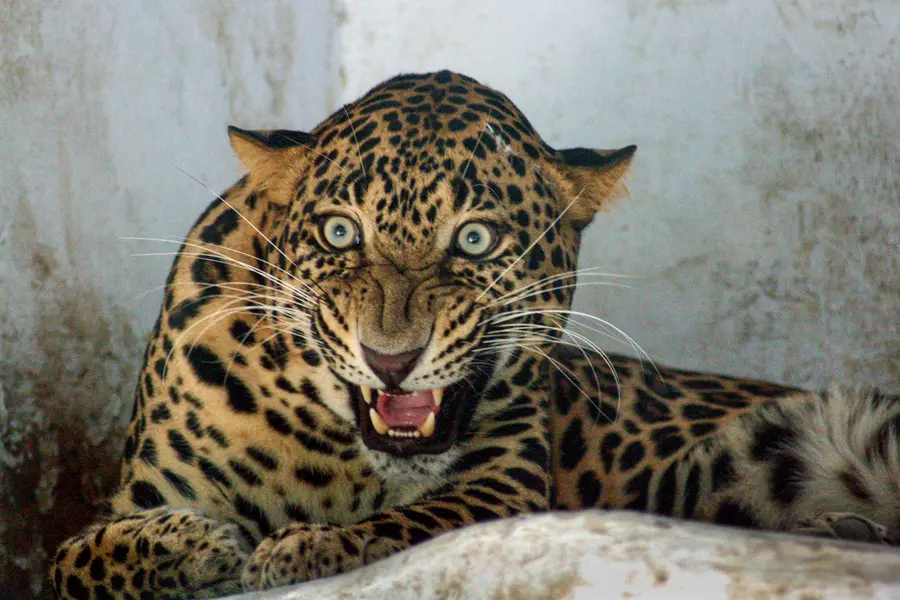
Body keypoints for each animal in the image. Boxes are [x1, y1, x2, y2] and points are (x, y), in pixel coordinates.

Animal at [51, 70, 900, 599]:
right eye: (338, 232)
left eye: (475, 240)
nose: (390, 359)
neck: (340, 455)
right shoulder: (141, 498)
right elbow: (82, 557)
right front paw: (196, 548)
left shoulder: (503, 488)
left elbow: (408, 522)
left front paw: (303, 547)